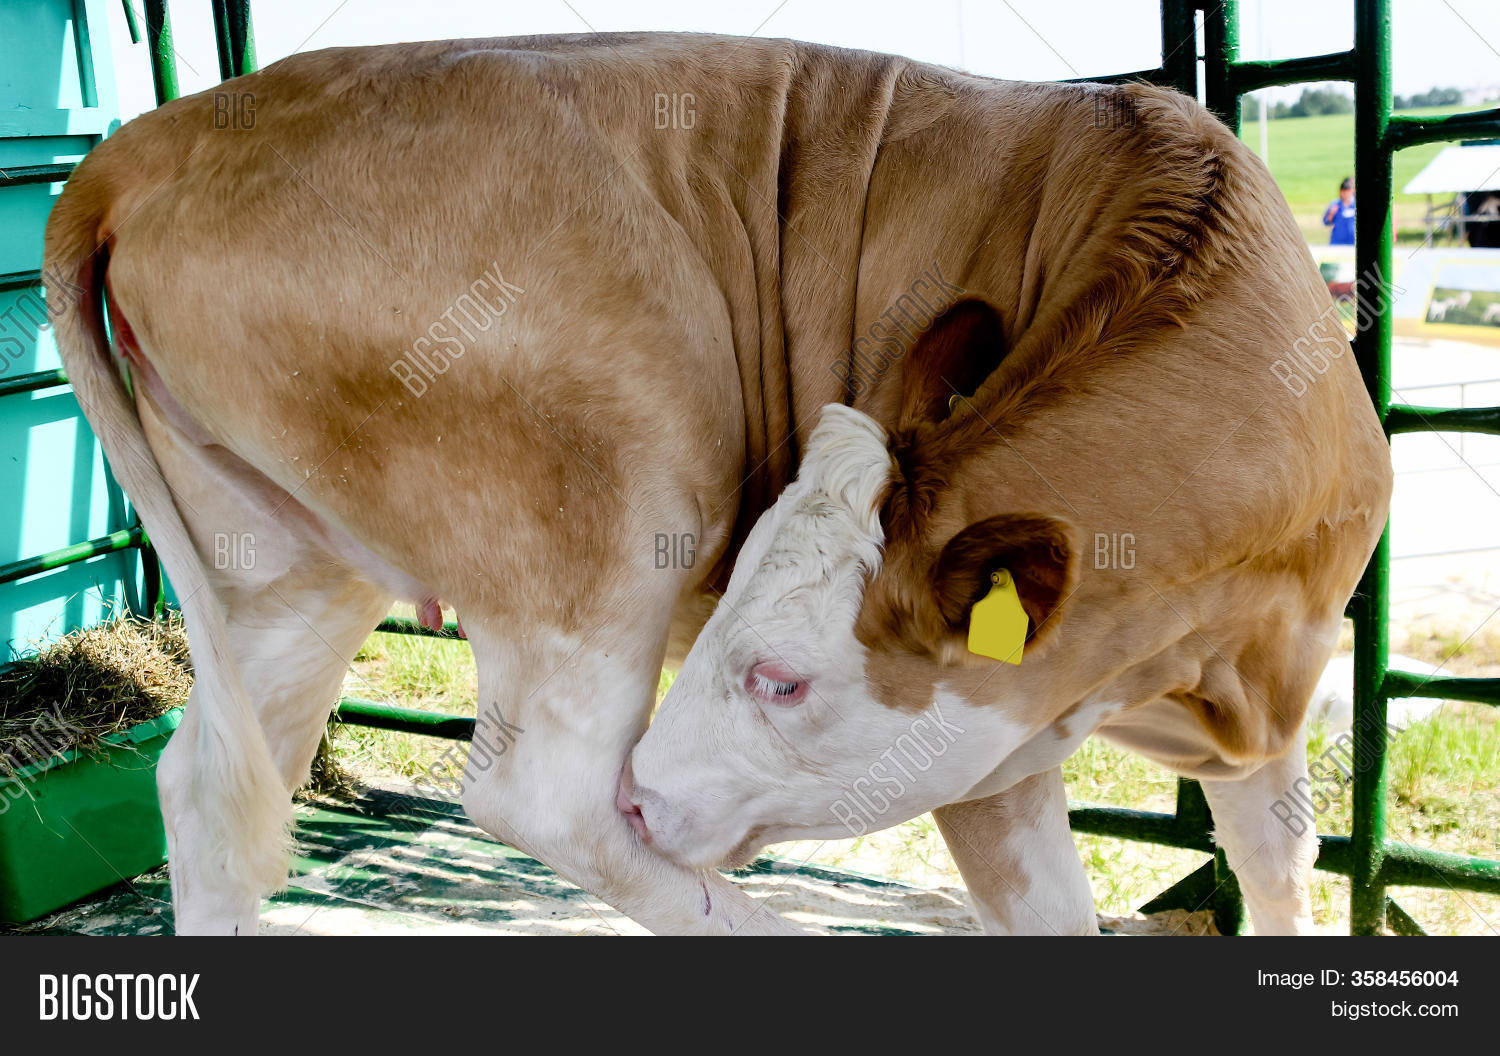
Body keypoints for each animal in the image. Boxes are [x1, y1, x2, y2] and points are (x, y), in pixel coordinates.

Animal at [44, 32, 1390, 936]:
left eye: (781, 678)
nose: (653, 803)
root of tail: (163, 133)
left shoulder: (1280, 695)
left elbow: (1278, 871)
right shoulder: (994, 759)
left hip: (279, 566)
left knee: (212, 797)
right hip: (625, 481)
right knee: (547, 801)